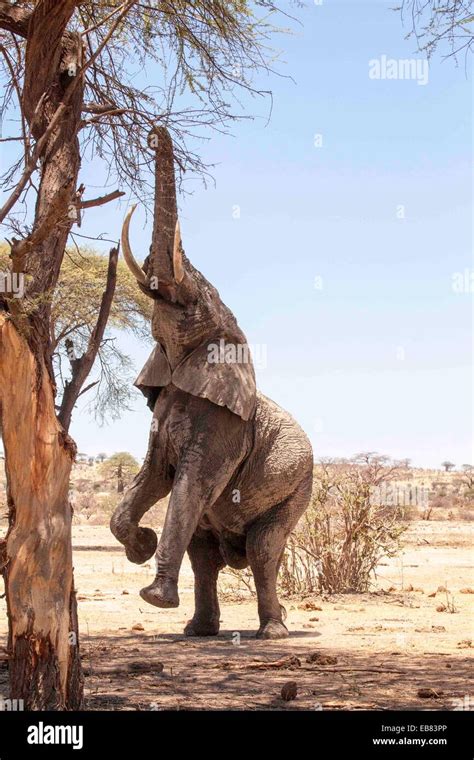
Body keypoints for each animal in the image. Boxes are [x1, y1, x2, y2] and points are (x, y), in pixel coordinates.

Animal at [110, 127, 313, 639]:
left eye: (198, 299)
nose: (154, 131)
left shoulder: (225, 429)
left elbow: (188, 483)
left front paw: (152, 596)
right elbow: (154, 476)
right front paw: (140, 544)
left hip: (298, 488)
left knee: (263, 550)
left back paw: (271, 632)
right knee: (205, 553)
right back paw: (199, 630)